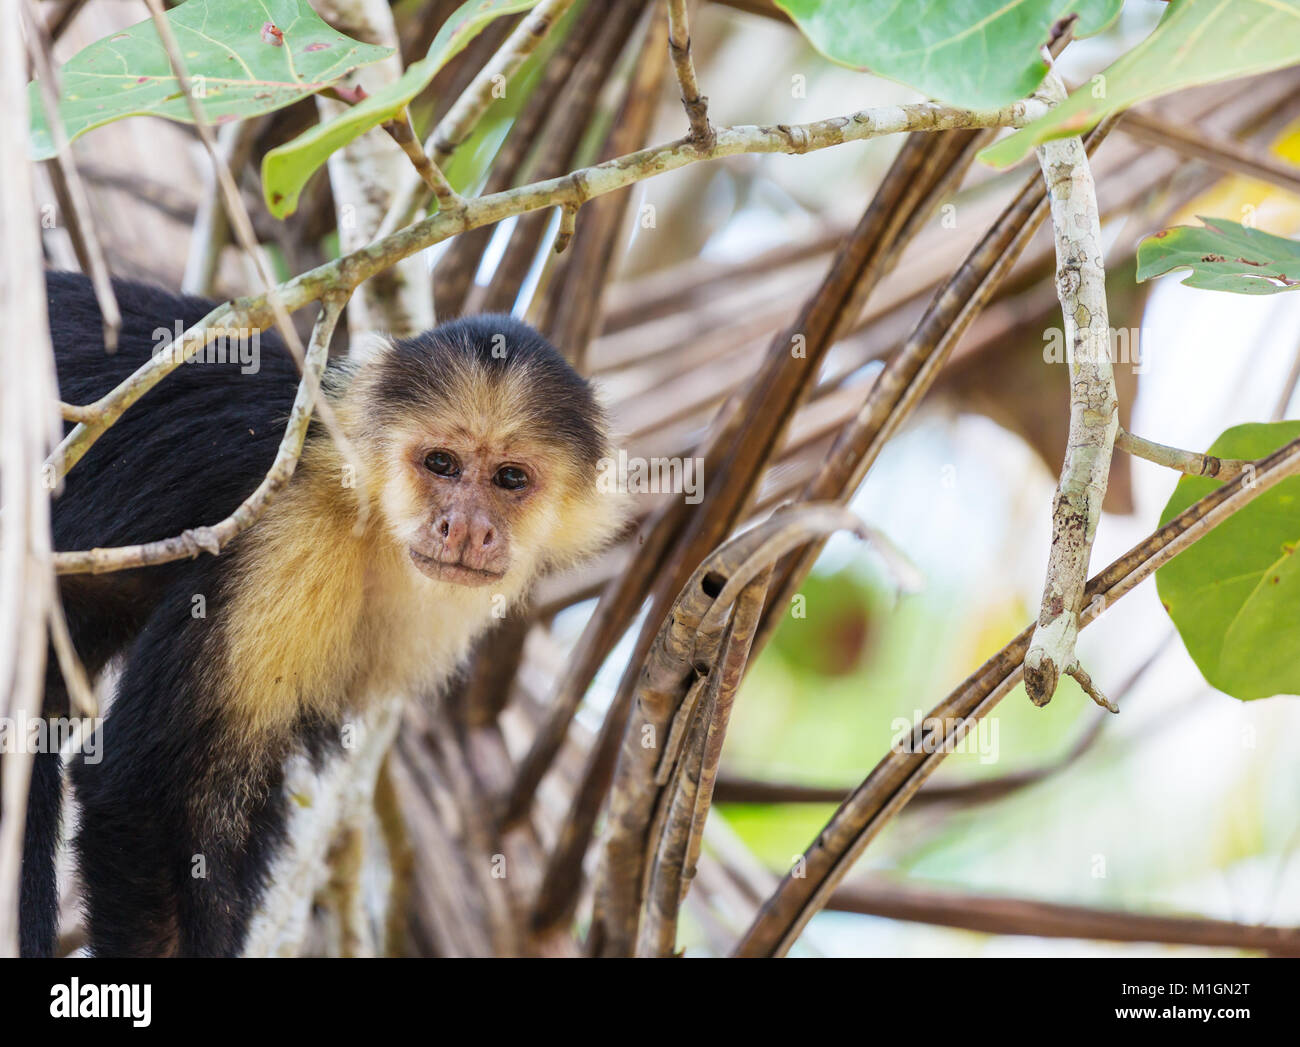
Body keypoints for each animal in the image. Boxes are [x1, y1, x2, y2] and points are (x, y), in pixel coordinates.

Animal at [18, 272, 624, 957]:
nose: (467, 528)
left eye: (511, 478)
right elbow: (134, 791)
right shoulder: (291, 532)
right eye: (441, 464)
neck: (370, 518)